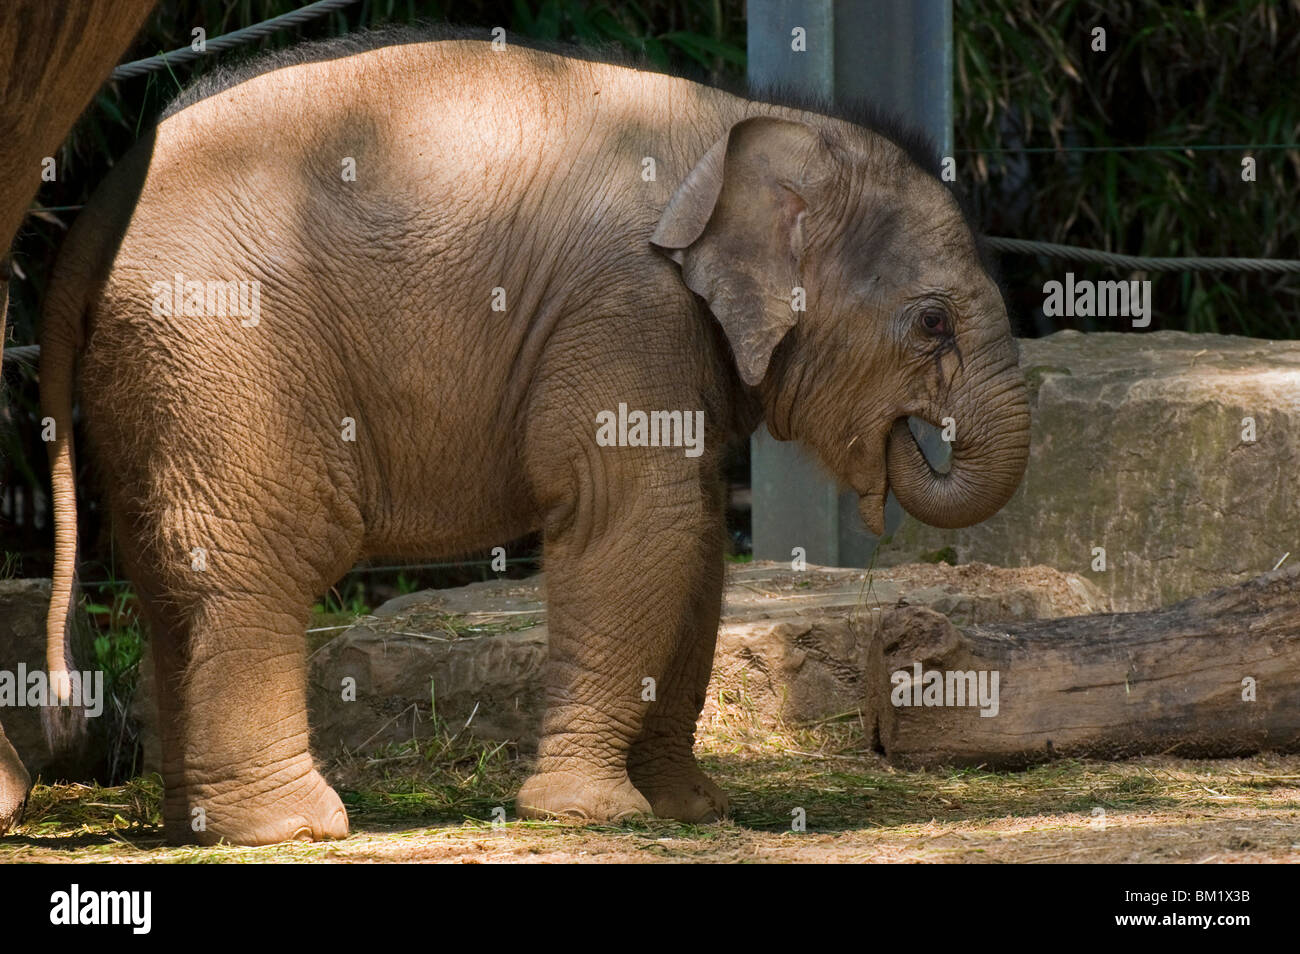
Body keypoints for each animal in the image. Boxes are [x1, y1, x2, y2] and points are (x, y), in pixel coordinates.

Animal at [36, 27, 1030, 846]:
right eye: (933, 323)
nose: (911, 445)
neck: (748, 119)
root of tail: (88, 223)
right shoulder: (625, 305)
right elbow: (638, 521)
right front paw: (593, 813)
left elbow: (698, 544)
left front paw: (691, 809)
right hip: (222, 343)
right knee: (261, 551)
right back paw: (294, 828)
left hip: (163, 369)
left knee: (169, 574)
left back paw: (198, 826)